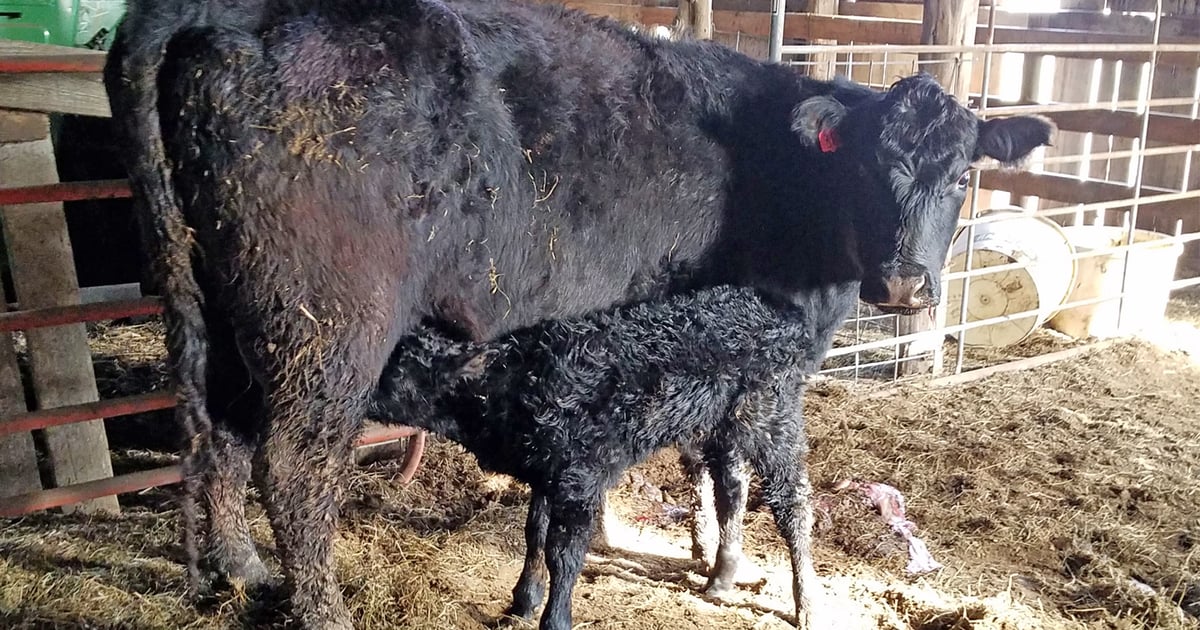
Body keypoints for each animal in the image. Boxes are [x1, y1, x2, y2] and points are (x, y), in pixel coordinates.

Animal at [369, 284, 842, 629]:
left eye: (395, 367)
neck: (512, 383)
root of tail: (780, 314)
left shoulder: (581, 475)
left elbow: (564, 552)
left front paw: (555, 619)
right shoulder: (547, 471)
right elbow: (534, 532)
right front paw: (522, 601)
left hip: (771, 416)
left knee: (793, 502)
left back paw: (808, 605)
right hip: (723, 423)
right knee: (732, 484)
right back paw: (721, 578)